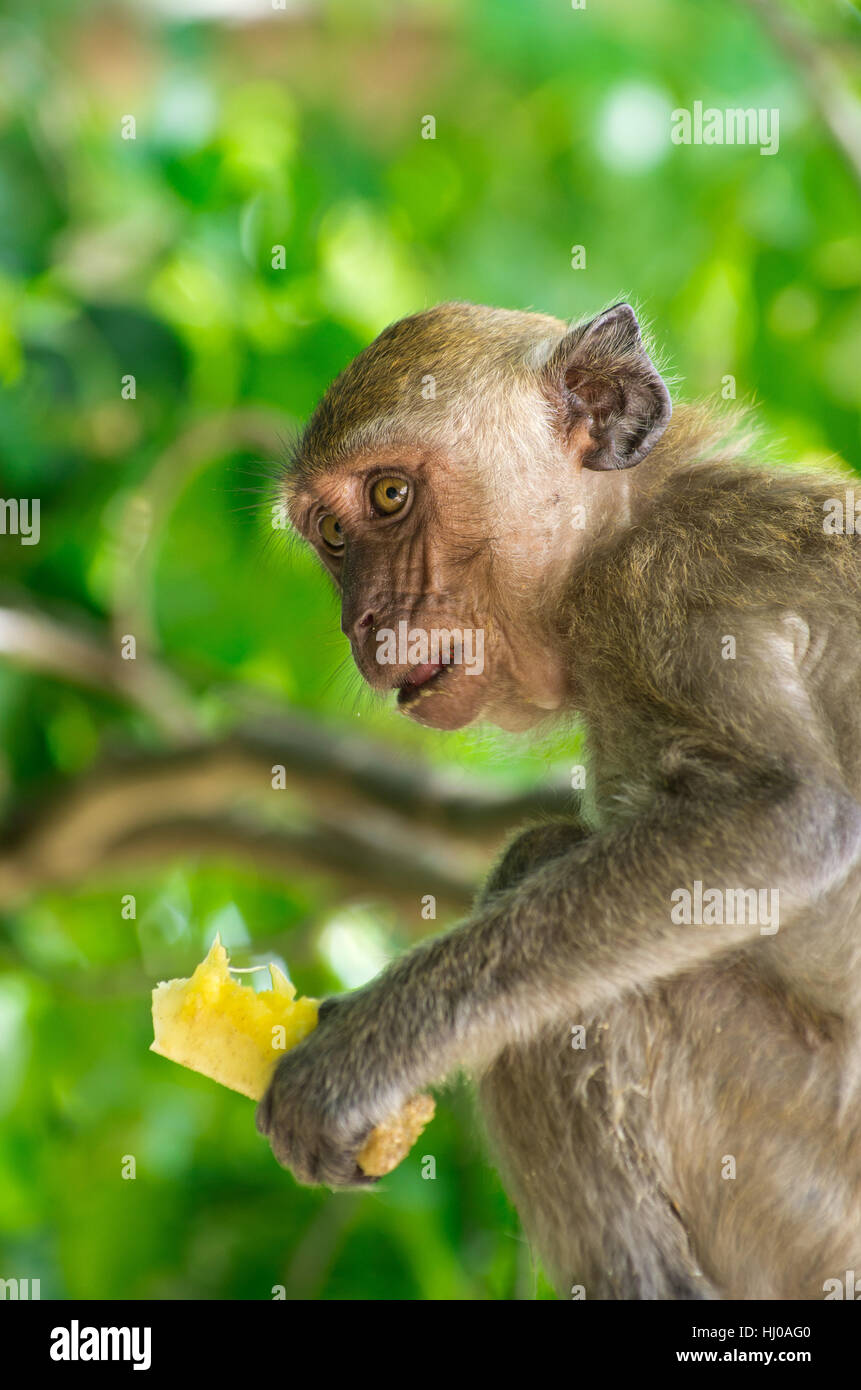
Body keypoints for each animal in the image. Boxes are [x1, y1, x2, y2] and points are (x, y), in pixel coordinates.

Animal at [256, 300, 861, 1300]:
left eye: (389, 497)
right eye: (332, 537)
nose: (362, 625)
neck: (613, 535)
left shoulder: (669, 595)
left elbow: (785, 816)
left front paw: (359, 1057)